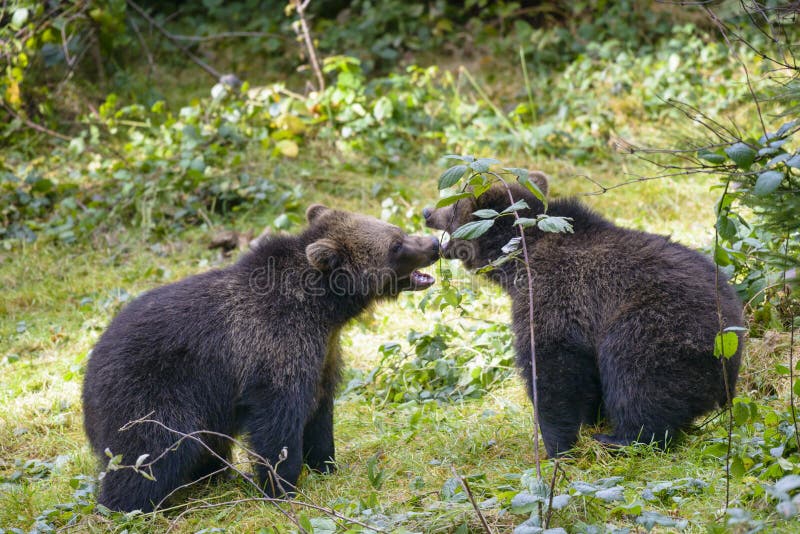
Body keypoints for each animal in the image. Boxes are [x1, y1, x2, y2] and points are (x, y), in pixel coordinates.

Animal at [82, 204, 439, 512]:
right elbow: (278, 423)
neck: (325, 310)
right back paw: (130, 506)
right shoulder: (274, 350)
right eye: (396, 244)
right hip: (154, 394)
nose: (434, 243)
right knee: (150, 453)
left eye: (398, 231)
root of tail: (89, 372)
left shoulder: (323, 354)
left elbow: (320, 411)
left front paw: (325, 463)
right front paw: (282, 486)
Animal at [423, 174, 743, 457]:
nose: (427, 211)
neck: (517, 259)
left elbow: (553, 368)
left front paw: (557, 444)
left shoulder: (555, 297)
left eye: (453, 204)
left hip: (658, 325)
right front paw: (589, 421)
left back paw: (621, 440)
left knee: (638, 378)